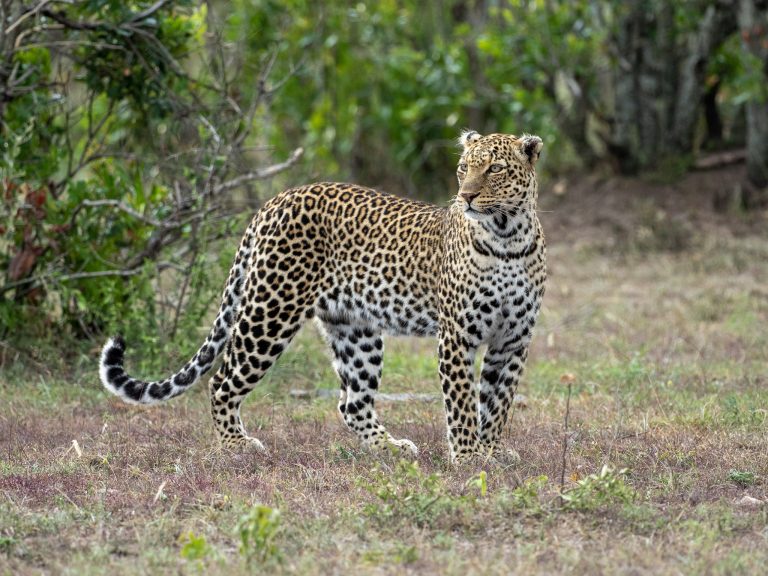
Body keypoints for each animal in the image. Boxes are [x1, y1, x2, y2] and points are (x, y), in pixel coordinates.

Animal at [99, 130, 547, 464]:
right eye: (463, 168)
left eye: (495, 169)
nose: (466, 196)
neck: (507, 237)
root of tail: (276, 199)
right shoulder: (457, 335)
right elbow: (462, 404)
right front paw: (468, 457)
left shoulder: (513, 340)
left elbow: (497, 401)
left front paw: (491, 452)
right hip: (270, 310)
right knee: (222, 380)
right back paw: (236, 445)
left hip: (354, 329)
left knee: (352, 403)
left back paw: (390, 447)